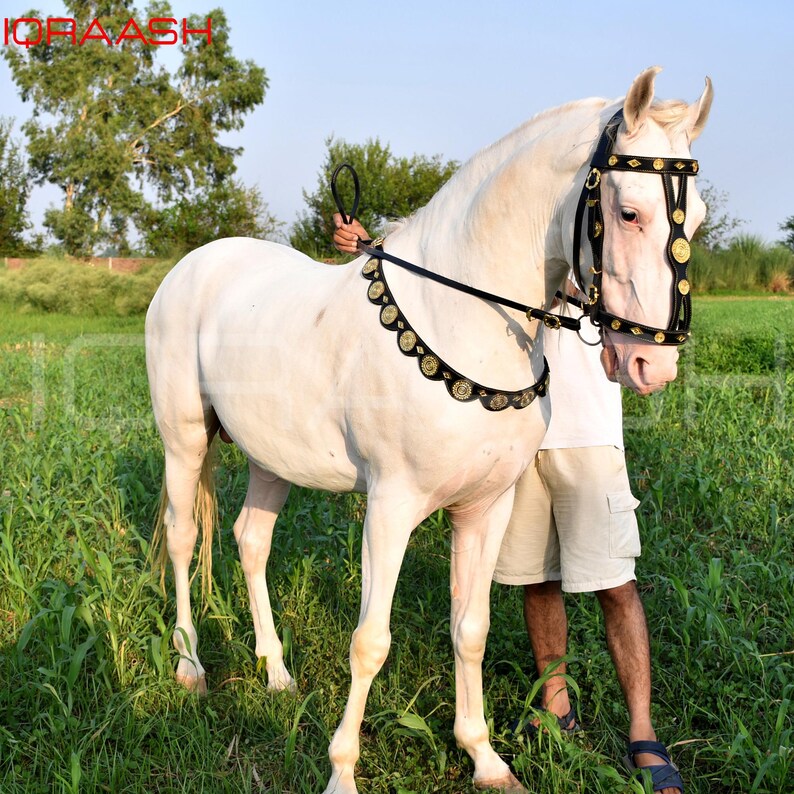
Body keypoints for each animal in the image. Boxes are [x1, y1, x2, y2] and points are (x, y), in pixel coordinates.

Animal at [145, 66, 712, 793]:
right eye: (629, 211)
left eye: (699, 218)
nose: (651, 363)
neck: (458, 316)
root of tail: (194, 266)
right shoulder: (391, 506)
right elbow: (370, 642)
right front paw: (342, 771)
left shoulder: (486, 508)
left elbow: (471, 628)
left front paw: (485, 757)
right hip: (184, 440)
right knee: (184, 537)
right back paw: (190, 666)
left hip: (272, 459)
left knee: (250, 542)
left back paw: (276, 672)